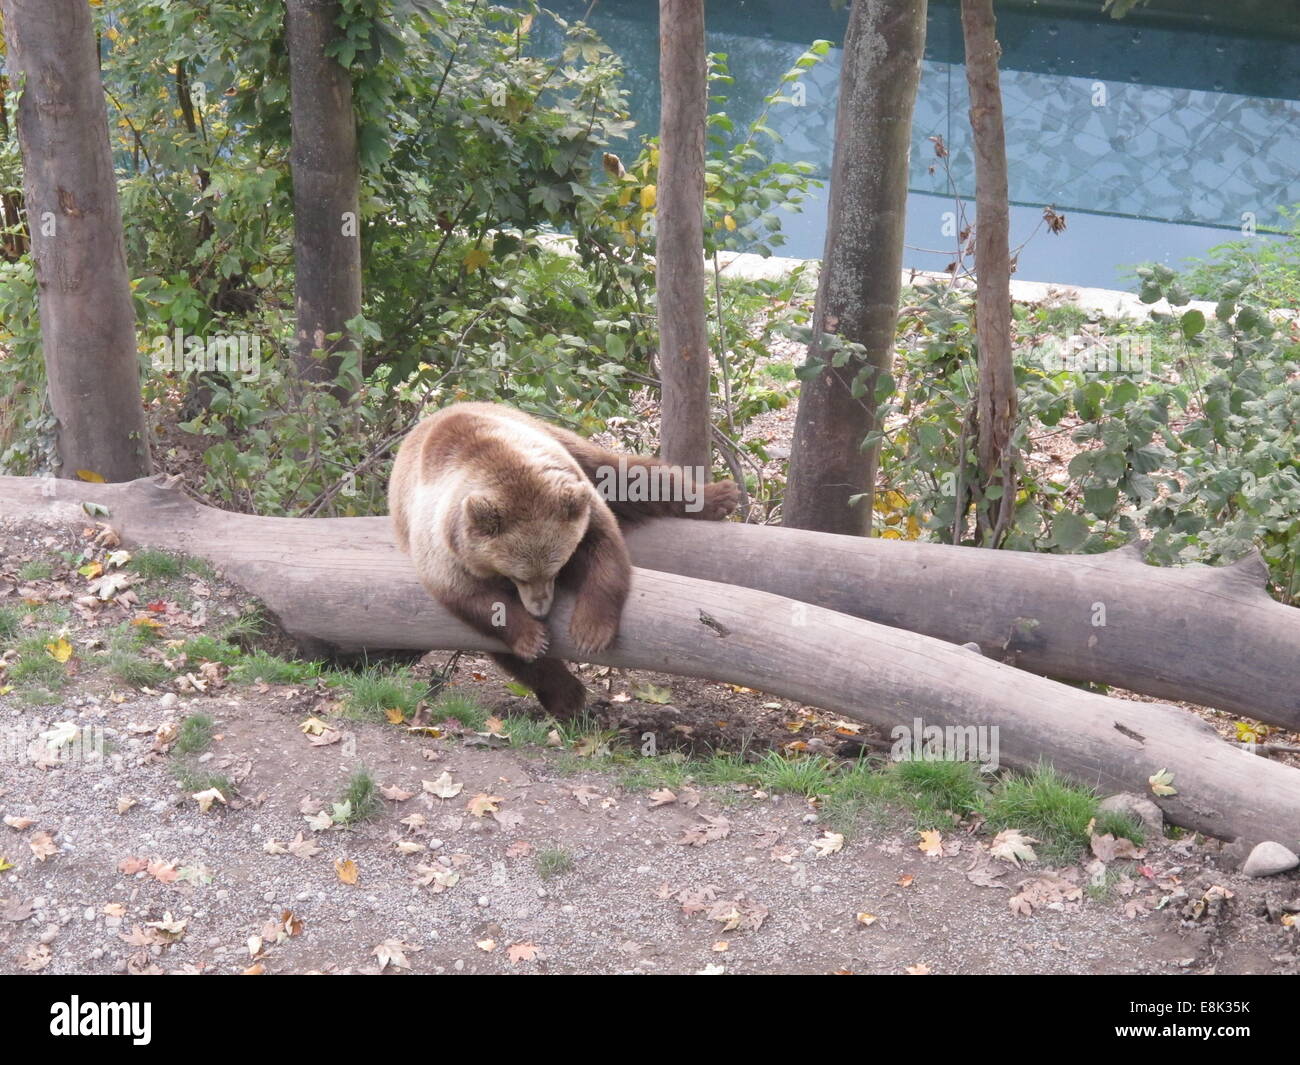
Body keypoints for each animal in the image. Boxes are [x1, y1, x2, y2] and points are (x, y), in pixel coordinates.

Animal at [389, 402, 739, 717]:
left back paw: (719, 496)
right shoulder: (444, 543)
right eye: (518, 576)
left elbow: (605, 550)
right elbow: (468, 596)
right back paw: (566, 696)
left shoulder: (577, 498)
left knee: (623, 473)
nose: (540, 609)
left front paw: (590, 632)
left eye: (554, 570)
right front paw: (533, 638)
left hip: (560, 440)